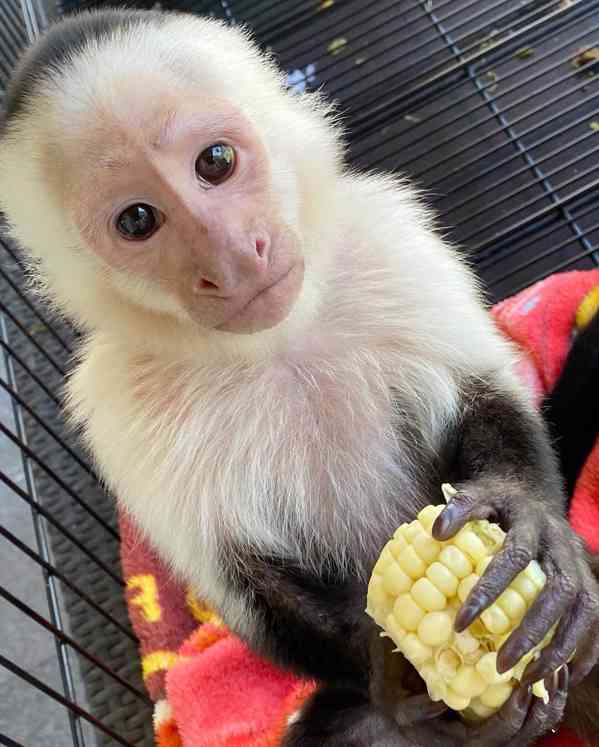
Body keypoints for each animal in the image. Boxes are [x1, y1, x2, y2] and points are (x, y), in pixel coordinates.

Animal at [0, 9, 598, 745]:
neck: (278, 342)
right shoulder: (114, 404)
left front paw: (525, 516)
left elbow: (483, 394)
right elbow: (246, 586)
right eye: (137, 219)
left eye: (215, 162)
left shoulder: (389, 237)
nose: (231, 256)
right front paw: (391, 663)